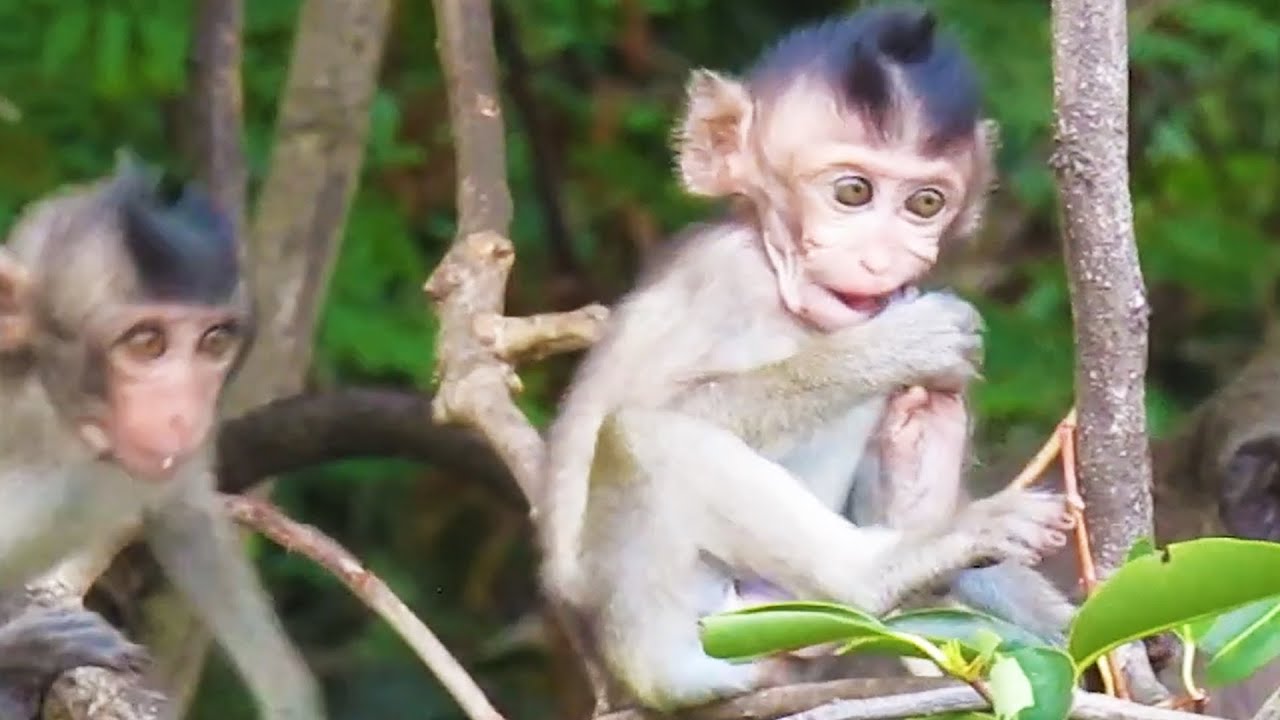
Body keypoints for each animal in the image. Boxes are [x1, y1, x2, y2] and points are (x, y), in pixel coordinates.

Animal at [535, 7, 1077, 712]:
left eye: (925, 203)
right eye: (852, 192)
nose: (881, 260)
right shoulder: (725, 277)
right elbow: (662, 405)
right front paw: (900, 346)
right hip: (651, 628)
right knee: (644, 436)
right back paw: (880, 571)